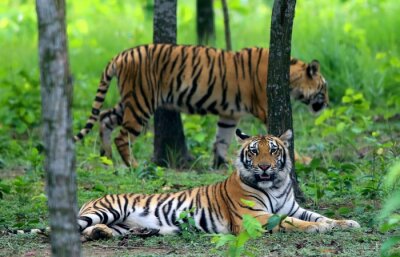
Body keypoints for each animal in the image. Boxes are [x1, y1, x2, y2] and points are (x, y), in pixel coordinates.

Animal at [74, 44, 328, 167]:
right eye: (324, 88)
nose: (327, 103)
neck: (291, 78)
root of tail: (121, 55)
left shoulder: (229, 115)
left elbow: (222, 140)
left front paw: (221, 163)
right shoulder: (265, 109)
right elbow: (280, 138)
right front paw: (303, 160)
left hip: (130, 101)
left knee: (105, 117)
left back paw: (106, 157)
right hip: (140, 102)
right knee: (122, 136)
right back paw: (133, 165)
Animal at [78, 129, 360, 241]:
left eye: (273, 150)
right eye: (254, 152)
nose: (265, 167)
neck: (276, 186)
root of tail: (90, 199)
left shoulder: (293, 207)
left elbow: (320, 215)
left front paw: (347, 223)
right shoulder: (253, 217)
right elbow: (290, 222)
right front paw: (316, 228)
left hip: (121, 225)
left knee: (99, 231)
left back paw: (120, 233)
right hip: (106, 210)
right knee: (78, 227)